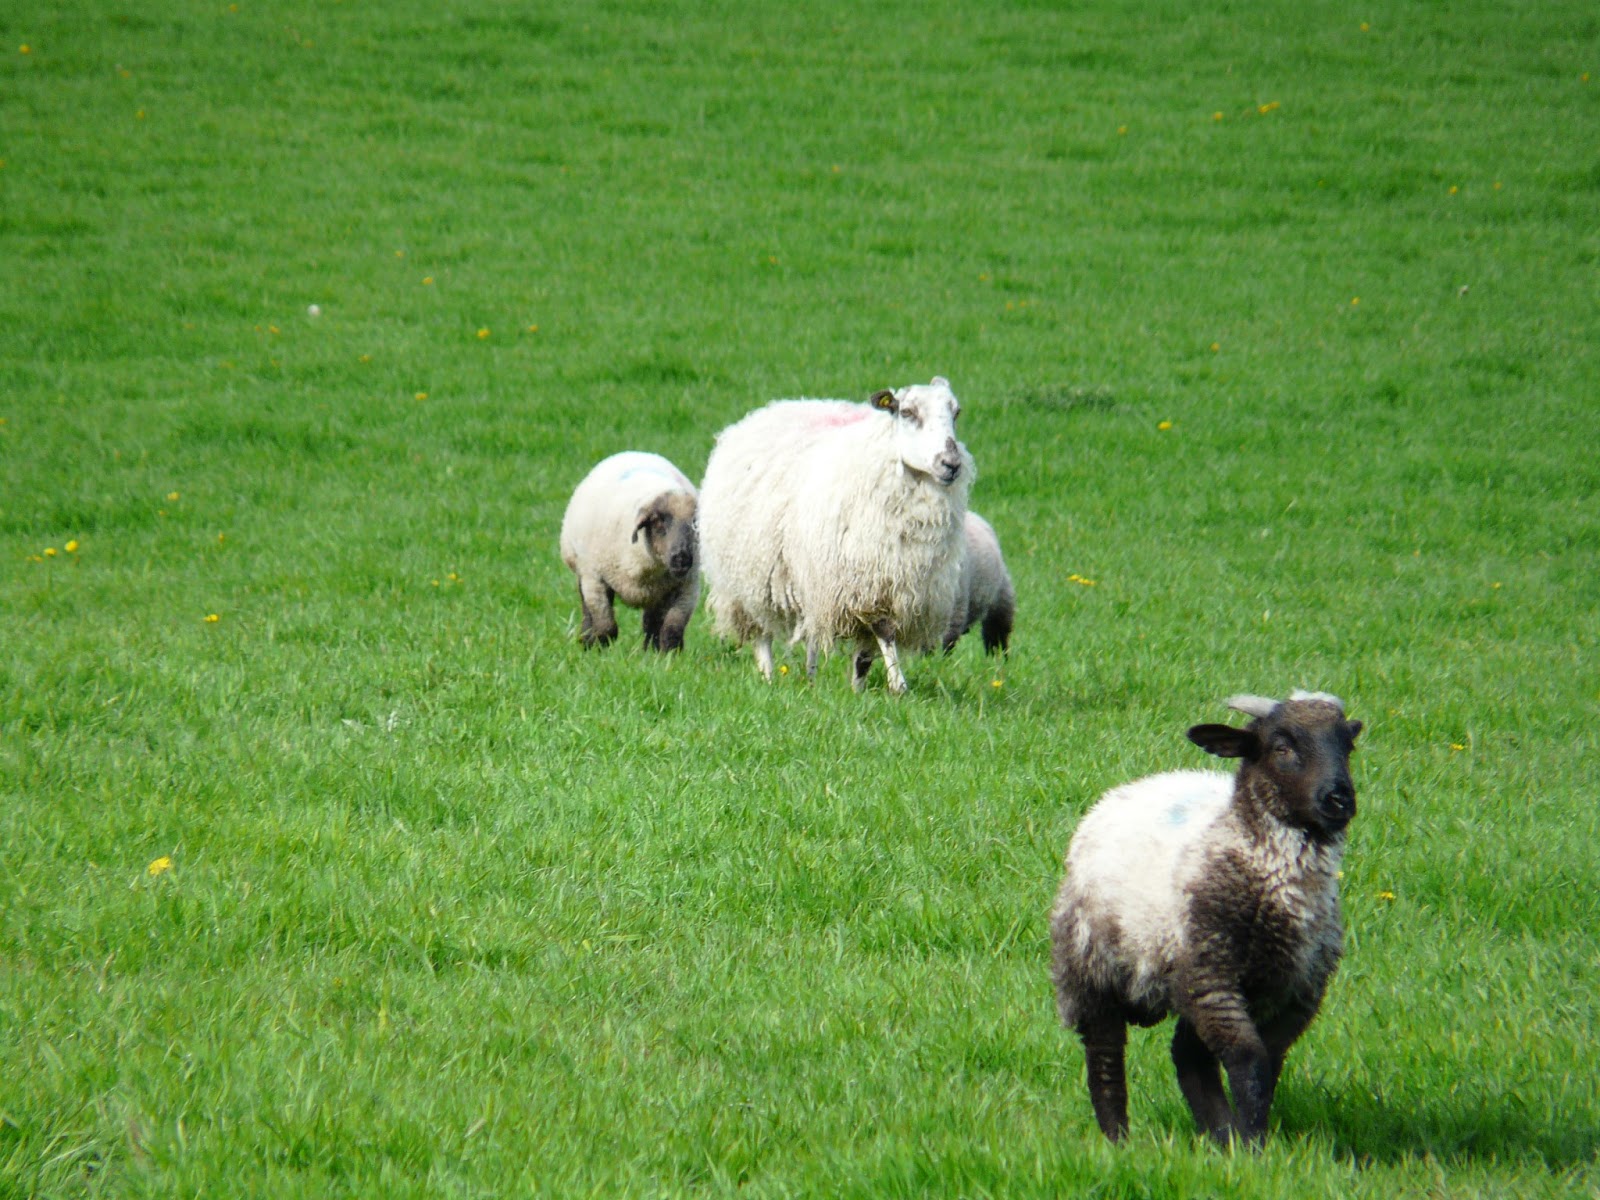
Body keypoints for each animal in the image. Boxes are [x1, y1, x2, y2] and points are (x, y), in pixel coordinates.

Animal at [558, 451, 699, 652]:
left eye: (696, 523)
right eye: (657, 521)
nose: (681, 558)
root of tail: (636, 453)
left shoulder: (687, 588)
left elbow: (672, 630)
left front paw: (668, 656)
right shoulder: (595, 580)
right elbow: (606, 627)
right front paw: (598, 651)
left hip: (657, 593)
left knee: (651, 623)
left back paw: (650, 651)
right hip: (585, 574)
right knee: (588, 613)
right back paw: (586, 641)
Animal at [696, 377, 974, 694]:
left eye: (956, 413)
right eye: (907, 412)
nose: (951, 464)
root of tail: (765, 412)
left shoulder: (894, 582)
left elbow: (865, 650)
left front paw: (859, 689)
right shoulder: (866, 581)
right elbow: (884, 629)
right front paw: (899, 686)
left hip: (808, 573)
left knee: (811, 629)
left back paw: (810, 677)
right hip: (748, 575)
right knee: (760, 630)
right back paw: (768, 674)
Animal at [1048, 691, 1364, 1146]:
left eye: (1348, 747)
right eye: (1282, 747)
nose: (1339, 800)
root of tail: (1127, 789)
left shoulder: (1296, 992)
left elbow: (1268, 1063)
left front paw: (1244, 1139)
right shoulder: (1212, 977)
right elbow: (1250, 1060)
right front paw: (1254, 1147)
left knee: (1187, 1054)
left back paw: (1218, 1134)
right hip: (1091, 966)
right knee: (1105, 1054)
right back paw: (1117, 1141)